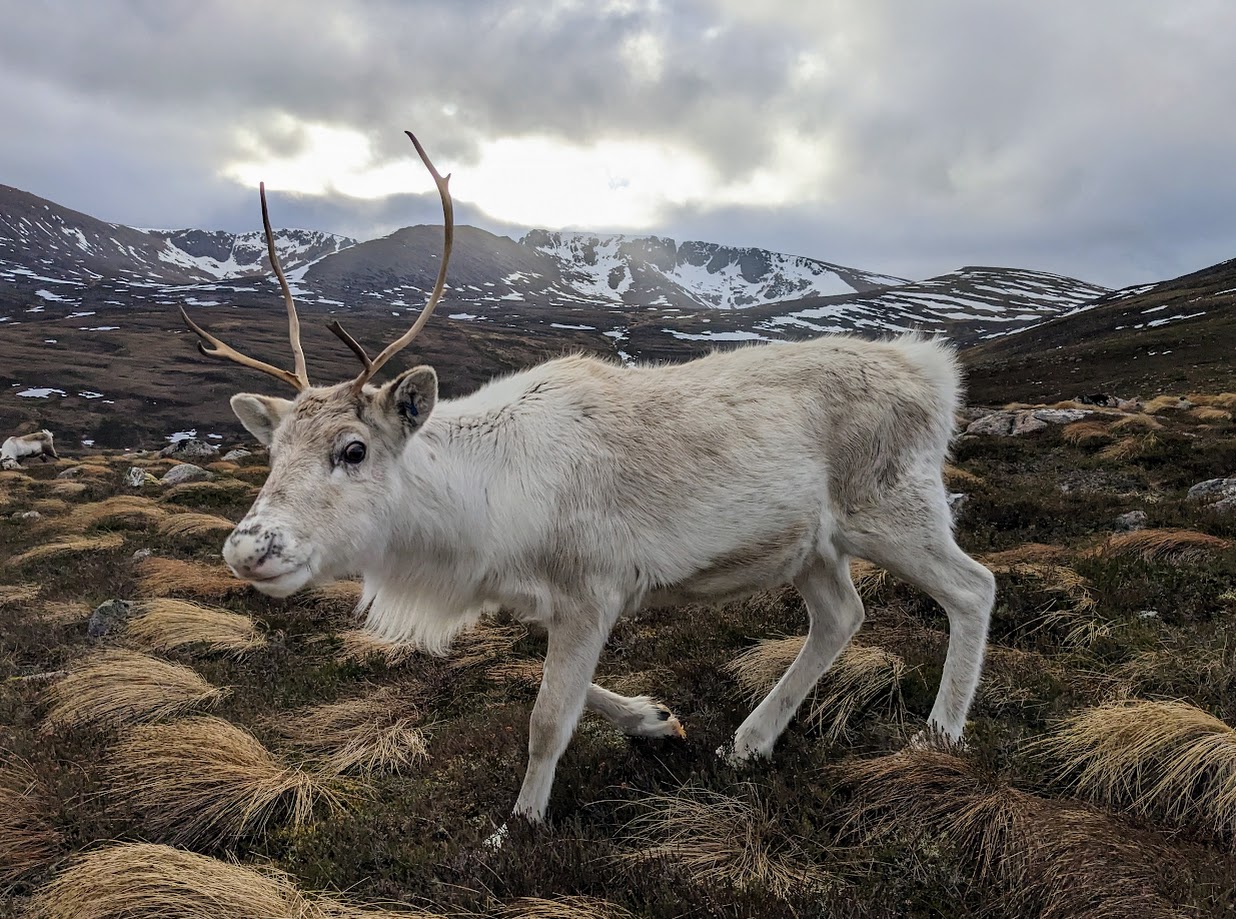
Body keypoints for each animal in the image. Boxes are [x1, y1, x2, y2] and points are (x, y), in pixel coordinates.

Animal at [179, 131, 996, 829]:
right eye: (273, 452)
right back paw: (748, 741)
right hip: (810, 544)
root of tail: (935, 372)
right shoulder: (543, 597)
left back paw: (938, 735)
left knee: (972, 588)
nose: (248, 549)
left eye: (352, 450)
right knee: (840, 616)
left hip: (893, 508)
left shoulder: (591, 587)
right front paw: (656, 719)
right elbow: (555, 691)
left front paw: (519, 825)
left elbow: (547, 717)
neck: (470, 516)